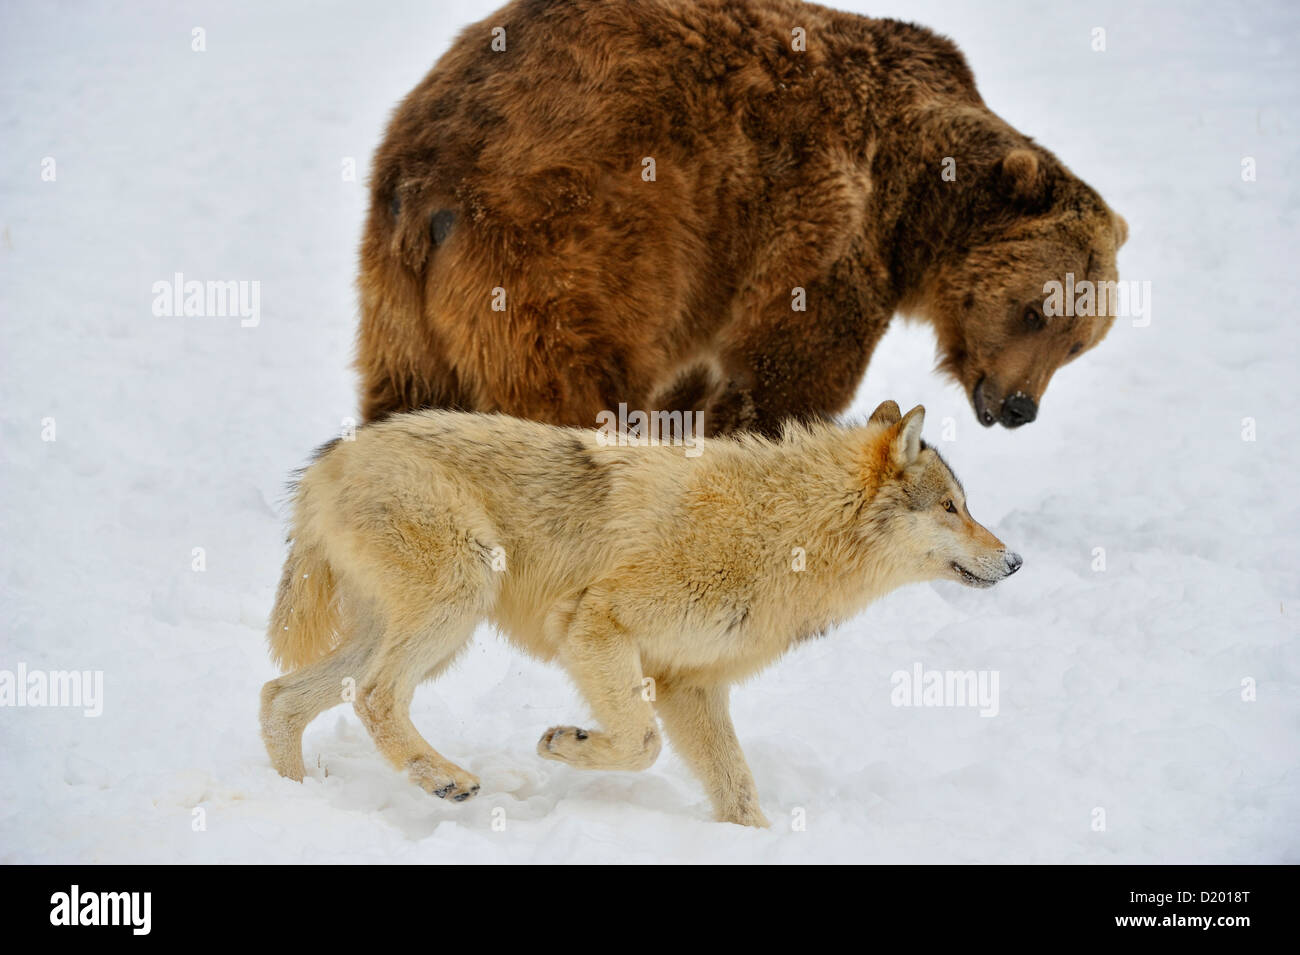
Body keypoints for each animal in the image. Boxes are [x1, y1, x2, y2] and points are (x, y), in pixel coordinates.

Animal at [259, 401, 1021, 826]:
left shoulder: (691, 686)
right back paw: (445, 777)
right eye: (952, 507)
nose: (1014, 561)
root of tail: (328, 460)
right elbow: (643, 744)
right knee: (376, 696)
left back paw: (297, 799)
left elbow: (738, 794)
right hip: (460, 601)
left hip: (419, 630)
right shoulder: (596, 627)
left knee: (279, 697)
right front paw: (564, 744)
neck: (784, 533)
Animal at [356, 0, 1128, 434]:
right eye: (1035, 310)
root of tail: (432, 181)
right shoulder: (824, 228)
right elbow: (787, 378)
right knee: (574, 394)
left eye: (1079, 342)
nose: (1020, 407)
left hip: (405, 306)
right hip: (576, 248)